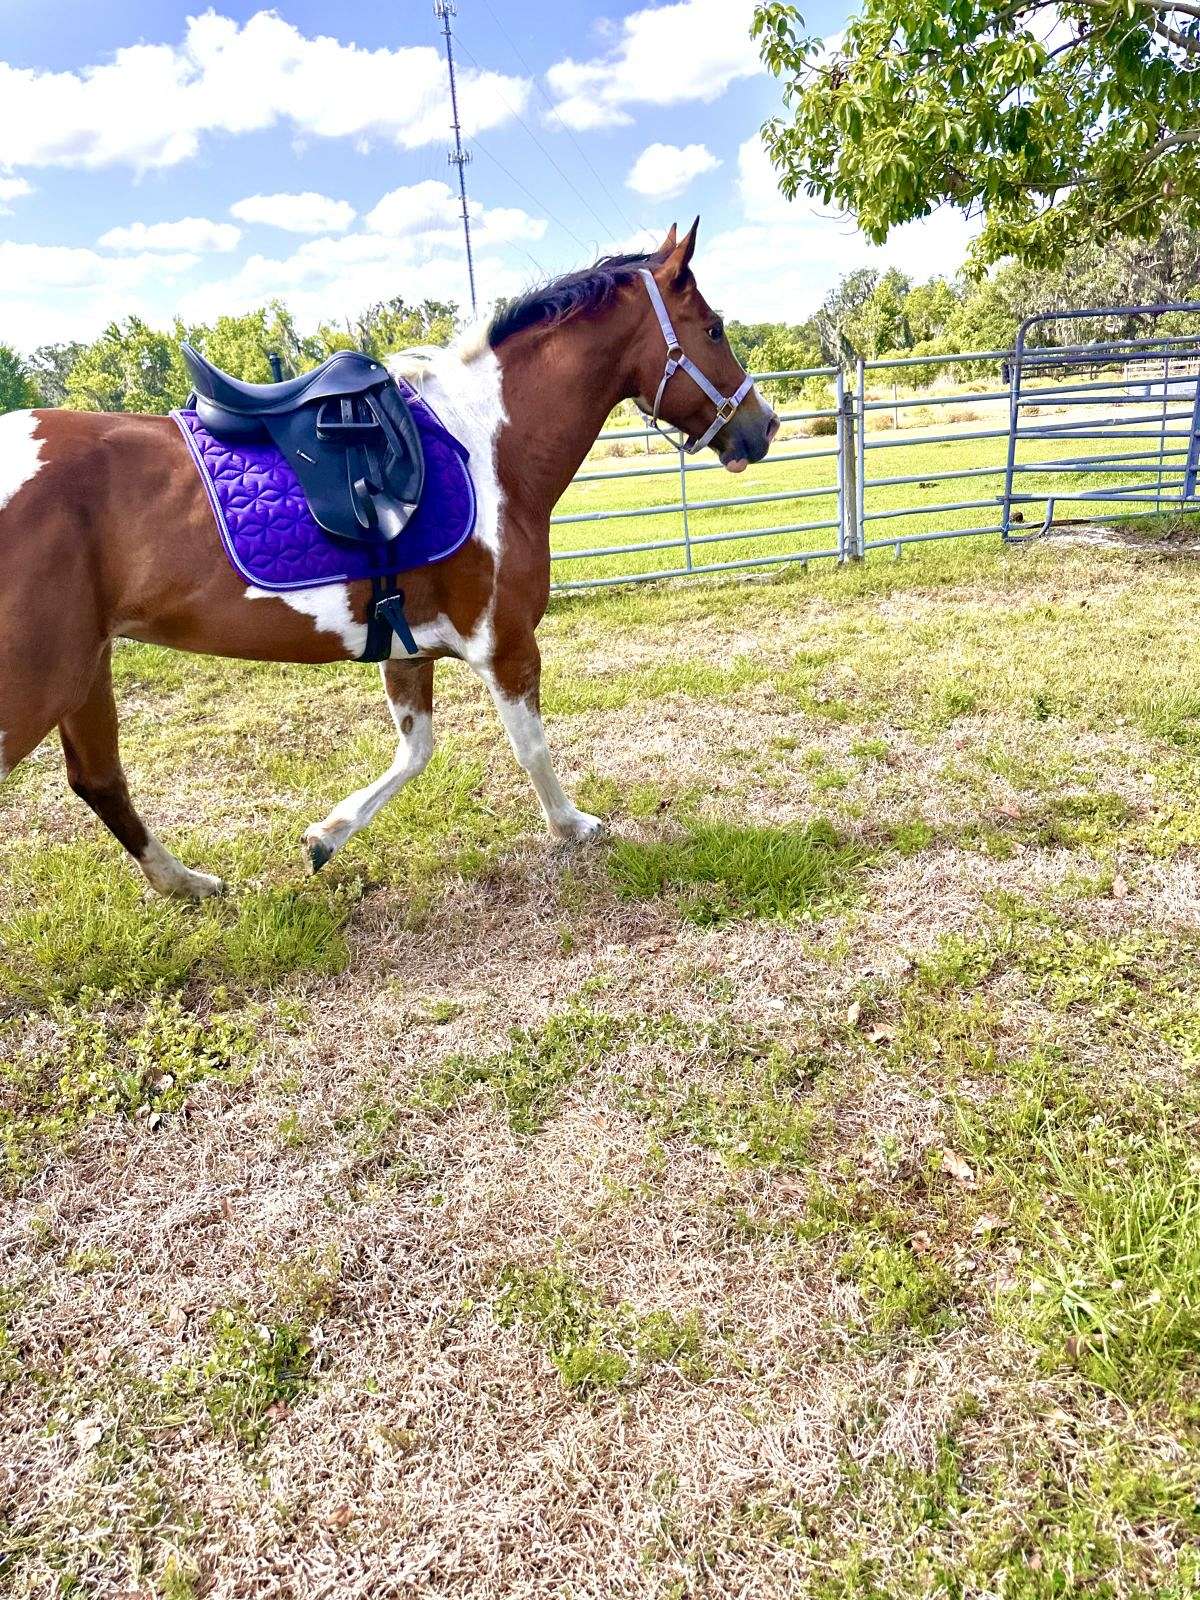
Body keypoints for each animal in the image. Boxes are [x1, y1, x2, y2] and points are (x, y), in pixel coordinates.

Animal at [0, 220, 779, 898]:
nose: (763, 426)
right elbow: (530, 748)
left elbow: (416, 751)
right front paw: (571, 827)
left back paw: (188, 884)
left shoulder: (409, 647)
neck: (485, 442)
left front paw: (326, 836)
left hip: (85, 671)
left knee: (100, 781)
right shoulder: (507, 645)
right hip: (41, 686)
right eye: (713, 328)